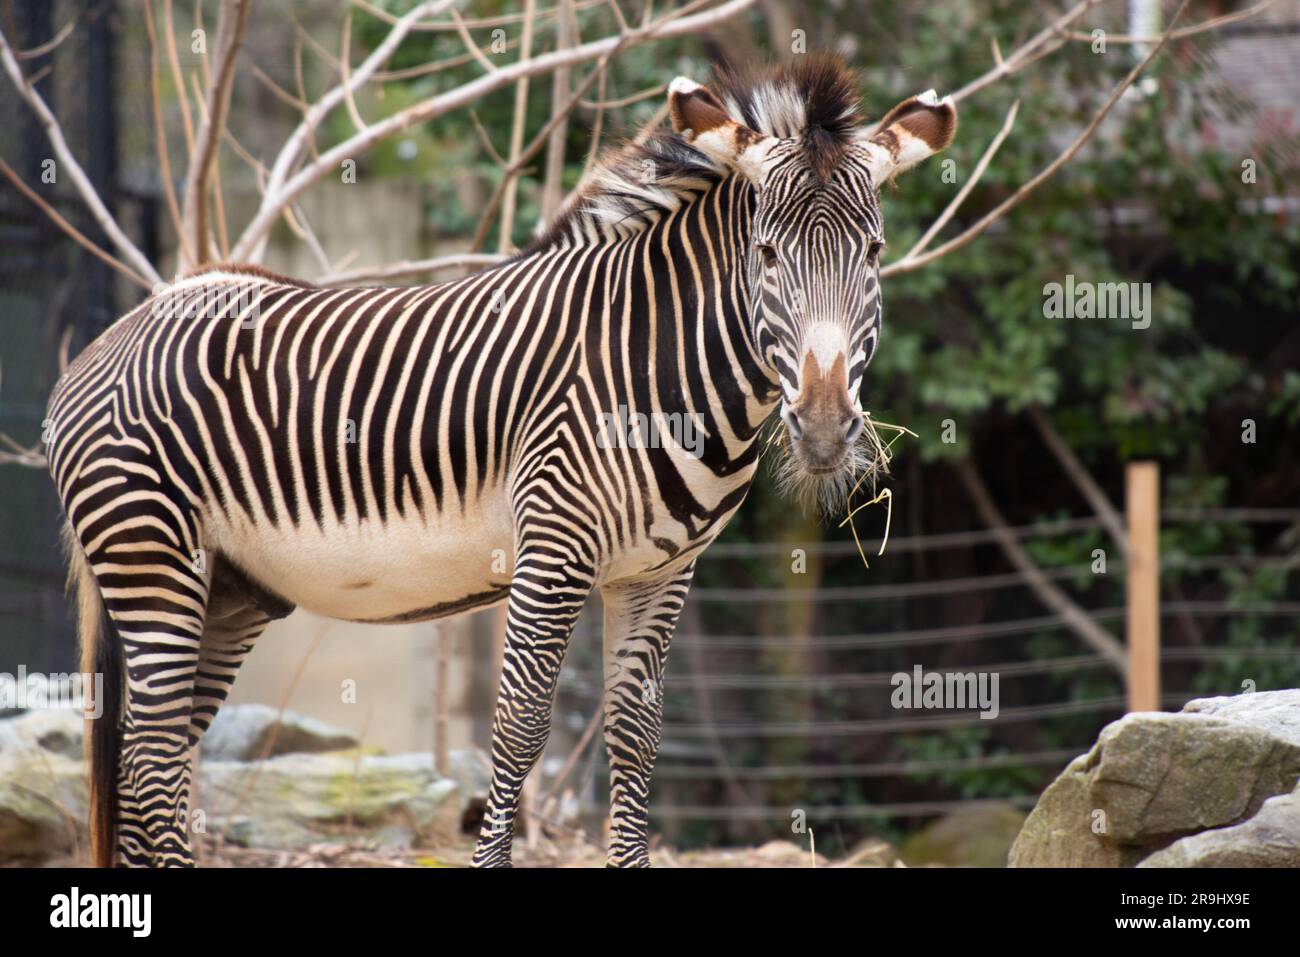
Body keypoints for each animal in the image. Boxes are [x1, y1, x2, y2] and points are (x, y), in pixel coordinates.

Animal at [47, 54, 955, 867]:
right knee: (152, 765)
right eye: (766, 254)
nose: (826, 428)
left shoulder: (659, 572)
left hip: (230, 590)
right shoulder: (553, 549)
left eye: (874, 253)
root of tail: (117, 331)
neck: (659, 367)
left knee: (149, 768)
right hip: (151, 558)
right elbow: (519, 728)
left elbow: (636, 734)